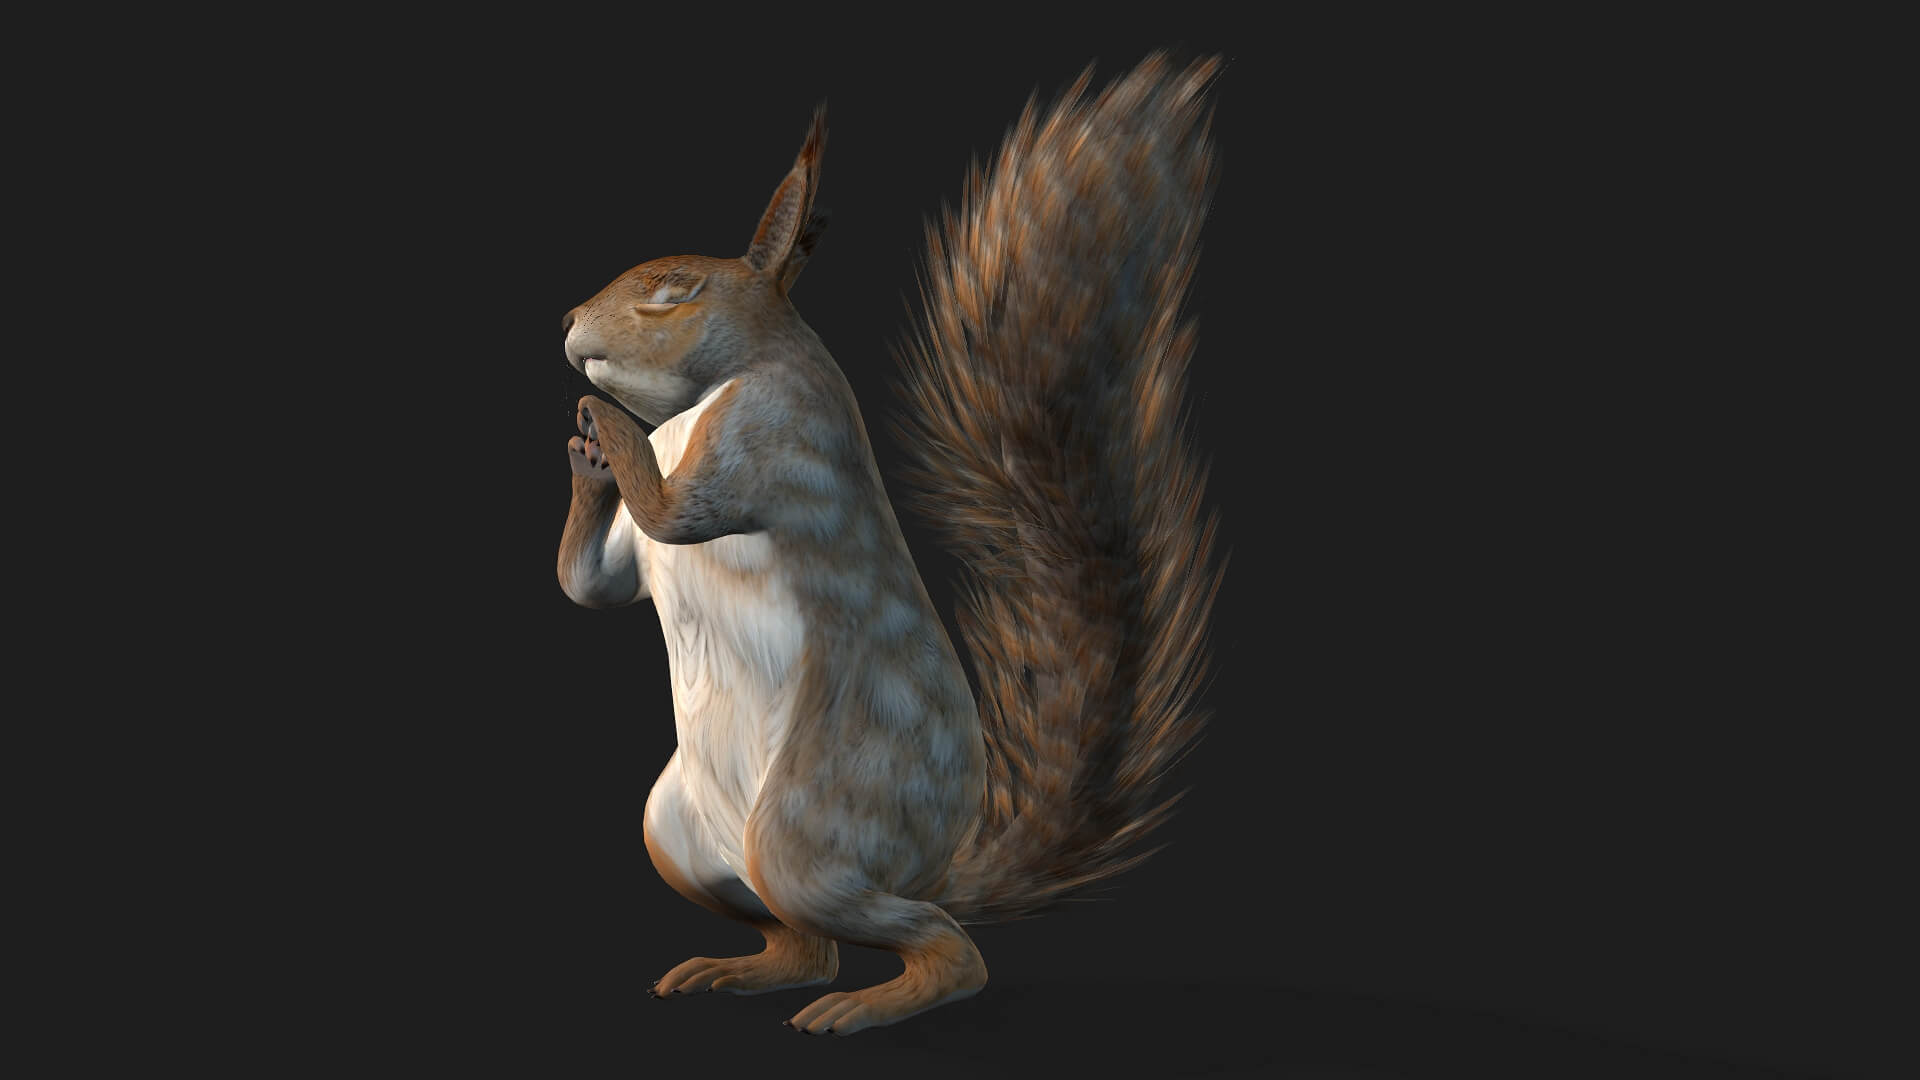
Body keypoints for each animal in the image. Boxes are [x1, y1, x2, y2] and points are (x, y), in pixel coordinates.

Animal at [556, 53, 1222, 1036]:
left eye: (674, 289)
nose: (567, 322)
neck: (709, 394)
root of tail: (934, 866)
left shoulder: (779, 437)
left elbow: (679, 513)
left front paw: (603, 423)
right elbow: (593, 586)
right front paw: (585, 456)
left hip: (813, 821)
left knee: (942, 950)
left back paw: (868, 1005)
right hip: (678, 839)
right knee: (804, 946)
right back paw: (736, 970)